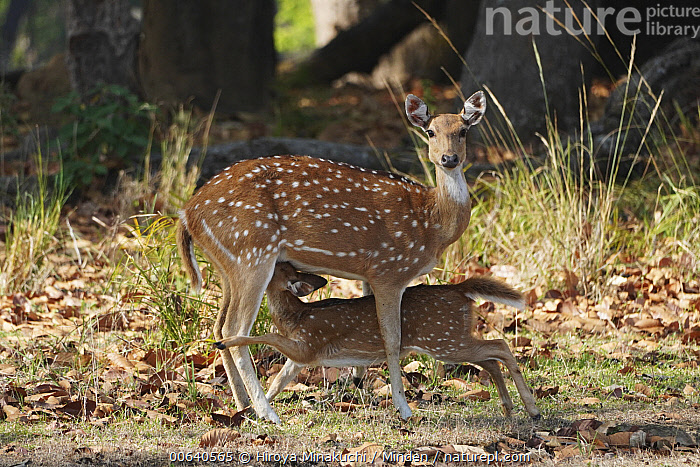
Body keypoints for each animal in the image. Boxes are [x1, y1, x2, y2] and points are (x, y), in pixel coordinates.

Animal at [176, 91, 485, 423]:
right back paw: (266, 411)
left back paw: (242, 404)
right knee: (234, 329)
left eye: (463, 130)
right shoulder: (389, 271)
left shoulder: (370, 272)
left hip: (227, 267)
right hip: (253, 253)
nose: (449, 159)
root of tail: (187, 214)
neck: (431, 224)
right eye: (430, 132)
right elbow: (392, 339)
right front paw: (402, 407)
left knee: (218, 327)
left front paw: (359, 383)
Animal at [215, 262, 541, 419]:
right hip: (451, 338)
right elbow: (277, 382)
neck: (297, 316)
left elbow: (267, 335)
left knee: (499, 345)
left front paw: (223, 342)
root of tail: (460, 289)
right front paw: (251, 411)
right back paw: (510, 408)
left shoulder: (308, 346)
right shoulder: (301, 357)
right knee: (490, 359)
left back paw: (532, 409)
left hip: (443, 338)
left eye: (274, 269)